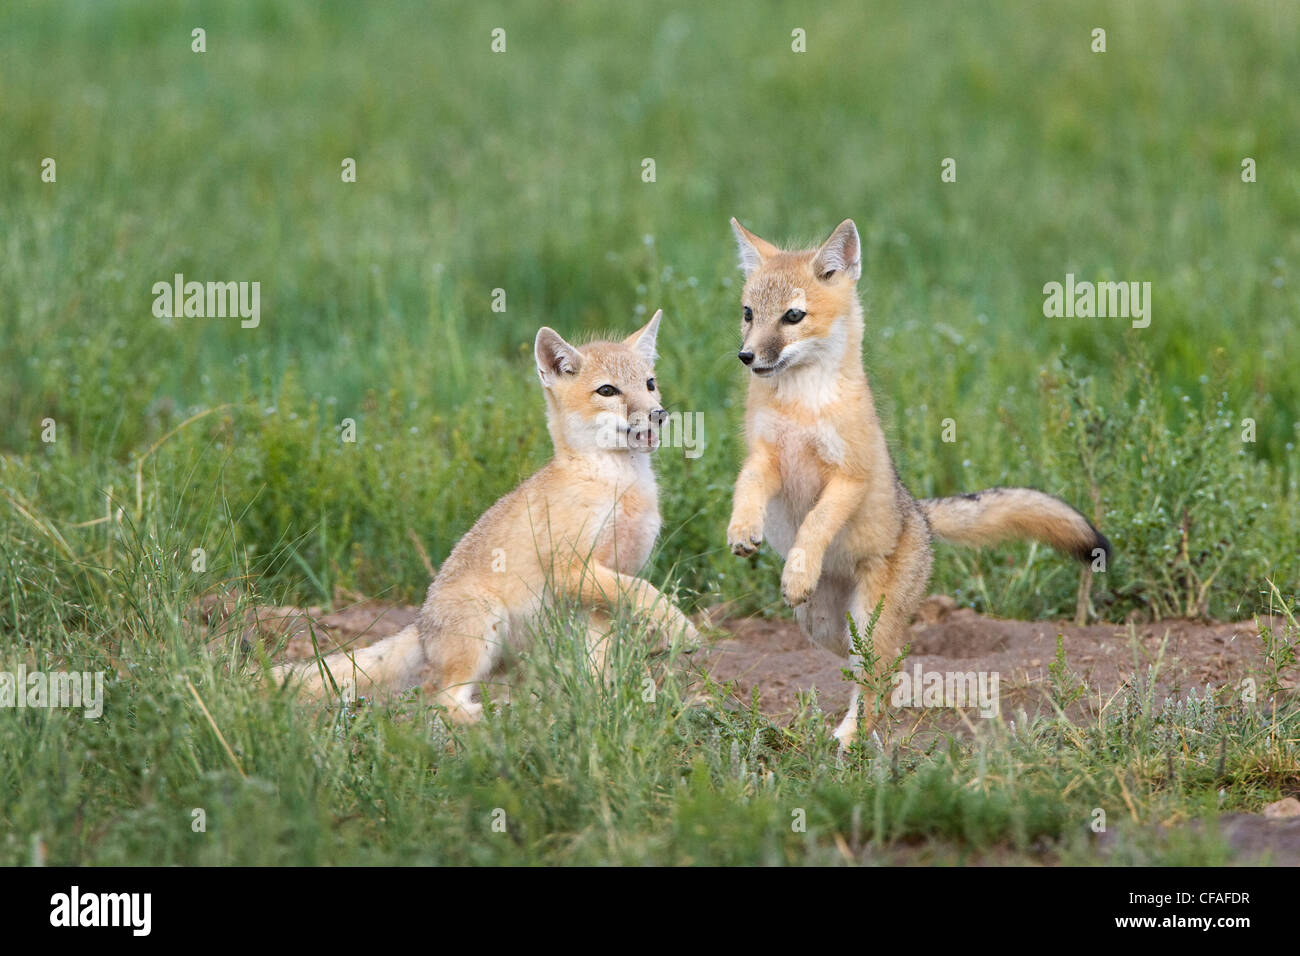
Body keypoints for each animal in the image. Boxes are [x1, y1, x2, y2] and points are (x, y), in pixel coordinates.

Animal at [272, 310, 699, 720]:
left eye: (649, 383)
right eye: (608, 391)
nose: (659, 414)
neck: (618, 485)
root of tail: (421, 623)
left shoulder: (601, 593)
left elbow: (603, 659)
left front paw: (607, 703)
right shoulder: (573, 570)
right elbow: (648, 592)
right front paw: (683, 629)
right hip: (483, 628)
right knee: (438, 699)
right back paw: (498, 719)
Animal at [725, 217, 1111, 747]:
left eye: (793, 316)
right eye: (748, 313)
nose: (746, 356)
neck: (802, 407)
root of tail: (920, 516)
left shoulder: (849, 476)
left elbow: (818, 521)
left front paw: (799, 567)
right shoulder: (765, 459)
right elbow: (746, 492)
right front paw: (743, 530)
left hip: (868, 621)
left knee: (882, 679)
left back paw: (852, 739)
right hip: (823, 626)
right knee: (867, 670)